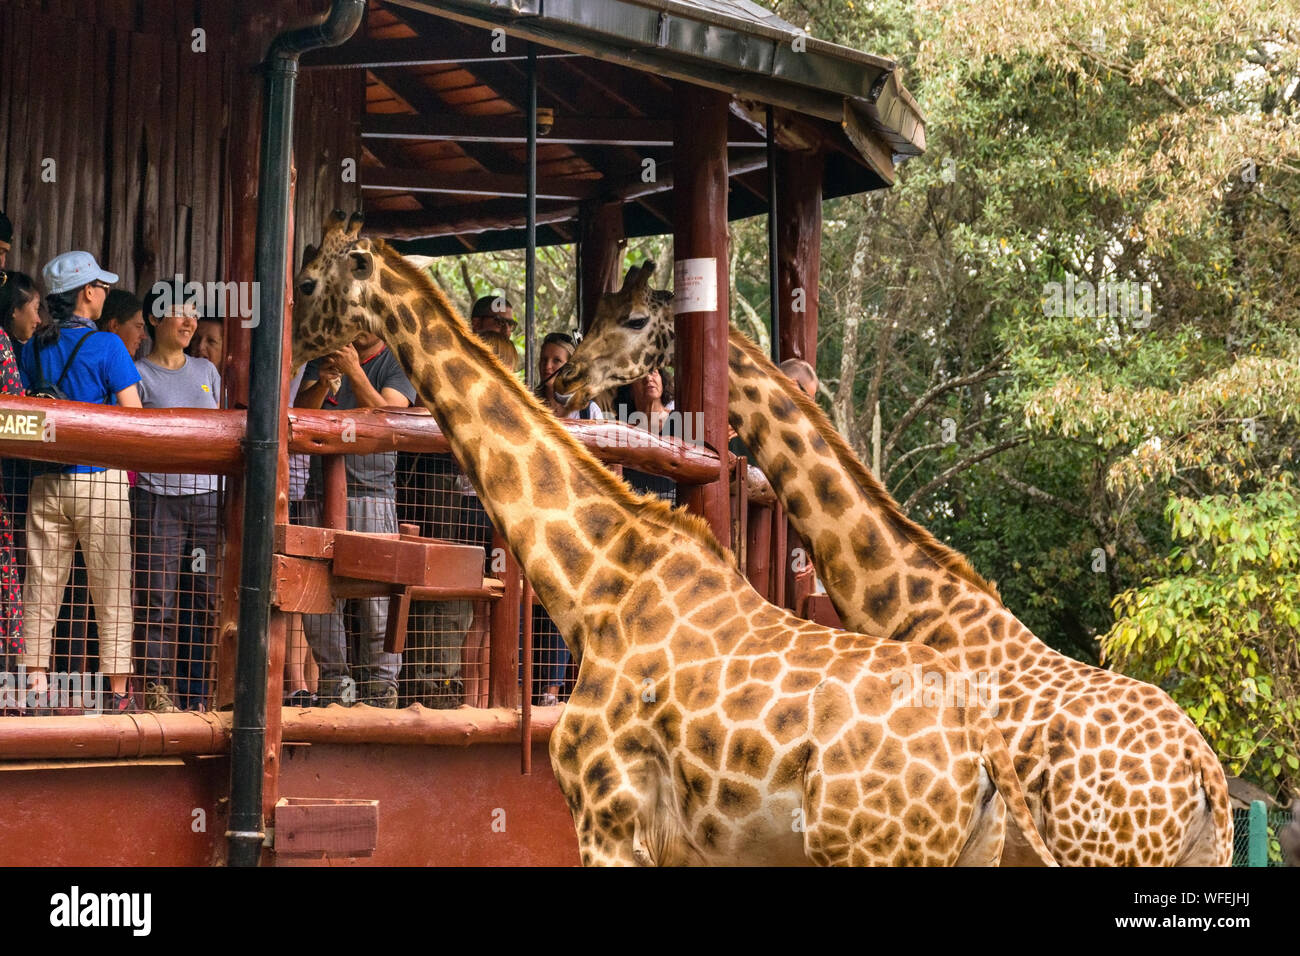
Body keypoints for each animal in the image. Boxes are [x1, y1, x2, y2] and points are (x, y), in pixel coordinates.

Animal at [290, 212, 1059, 866]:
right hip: (971, 850)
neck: (595, 582)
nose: (291, 343)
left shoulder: (606, 814)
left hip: (872, 850)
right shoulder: (684, 846)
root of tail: (982, 747)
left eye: (307, 282)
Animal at [552, 262, 1233, 866]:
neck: (908, 601)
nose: (566, 378)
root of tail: (1208, 778)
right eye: (595, 314)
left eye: (635, 319)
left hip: (1104, 850)